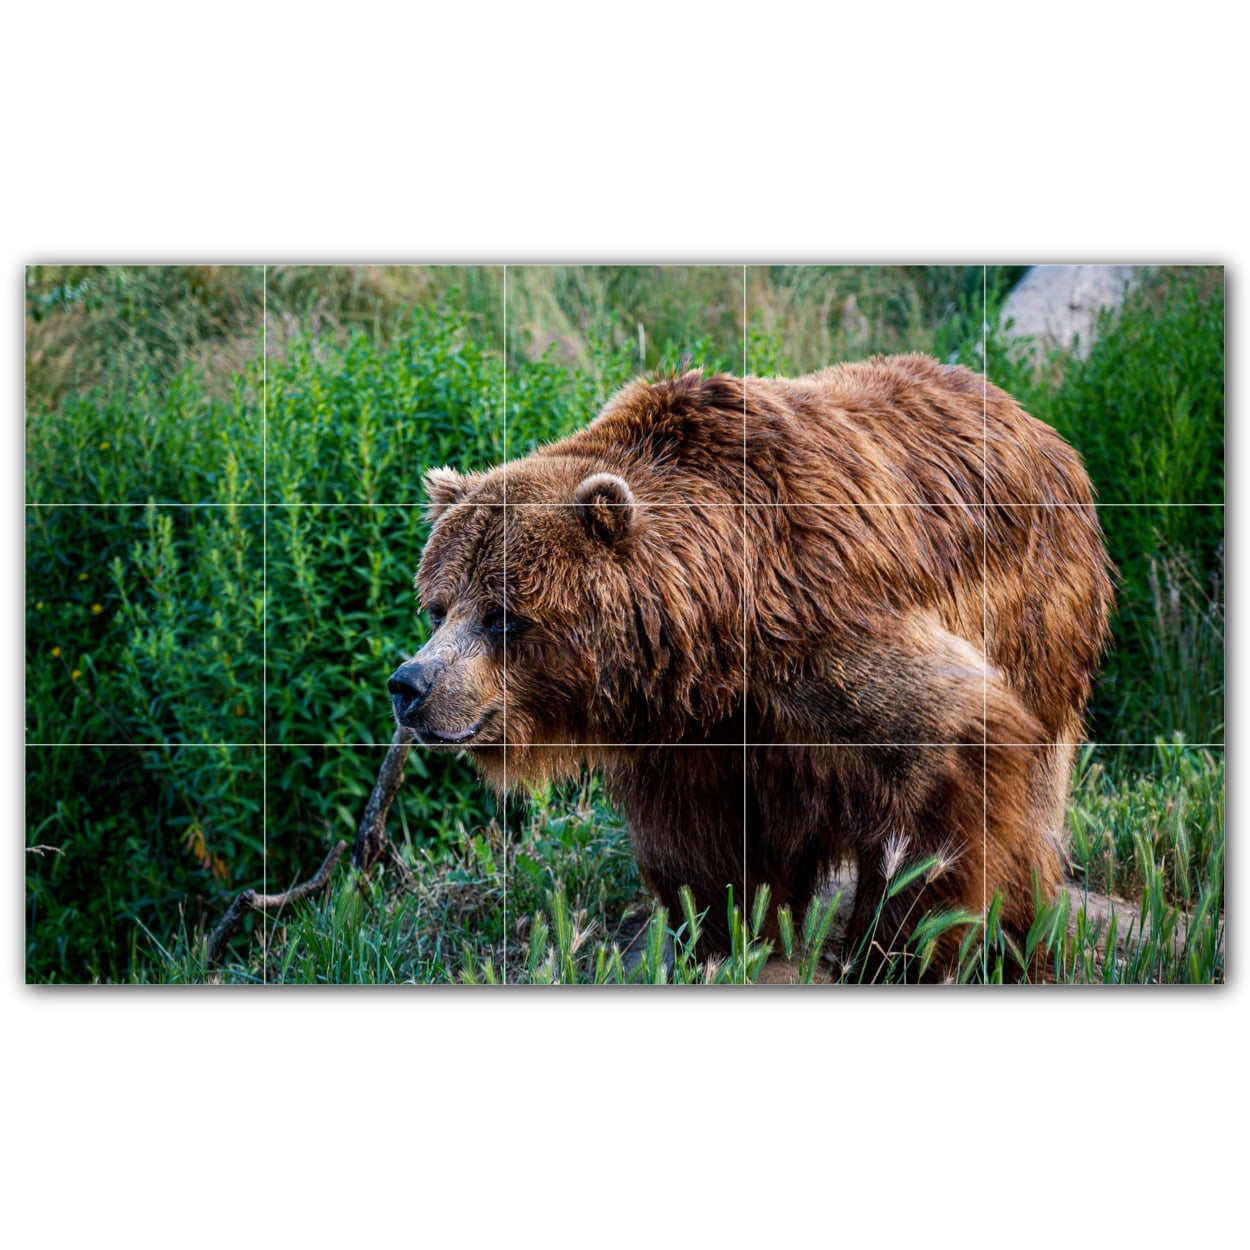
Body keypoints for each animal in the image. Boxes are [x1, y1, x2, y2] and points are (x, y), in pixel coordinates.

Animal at [388, 355, 1114, 978]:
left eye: (502, 614)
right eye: (438, 606)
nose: (410, 684)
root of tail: (1042, 427)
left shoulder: (816, 623)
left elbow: (950, 748)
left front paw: (891, 952)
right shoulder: (692, 734)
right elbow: (700, 851)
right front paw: (722, 941)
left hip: (1037, 615)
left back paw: (1018, 943)